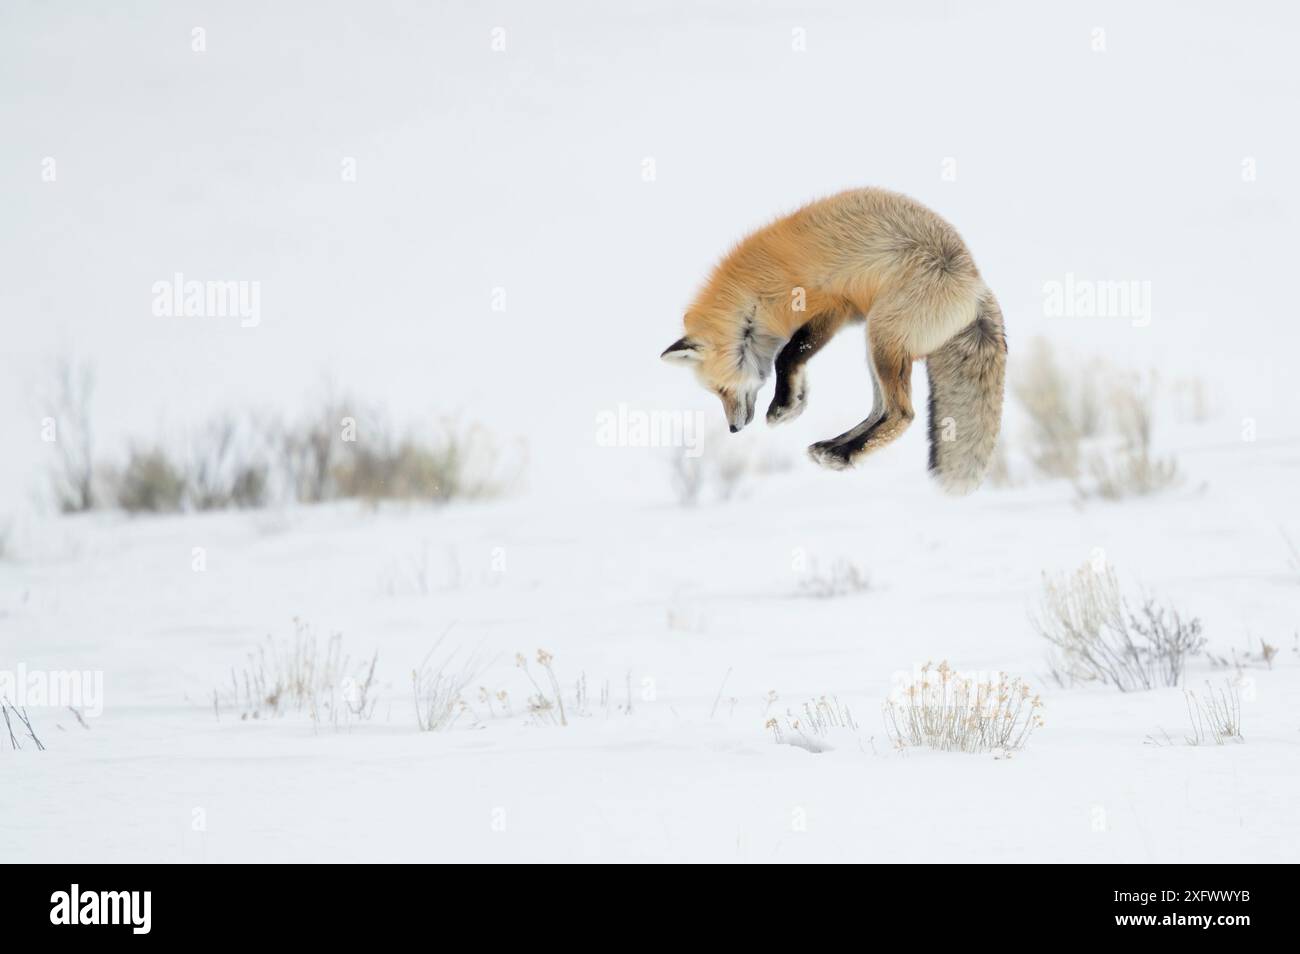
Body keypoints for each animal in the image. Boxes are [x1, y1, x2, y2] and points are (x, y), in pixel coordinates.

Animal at [661, 188, 1007, 495]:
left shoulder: (830, 307)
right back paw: (834, 448)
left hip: (882, 337)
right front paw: (794, 403)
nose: (733, 428)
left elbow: (787, 355)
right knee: (879, 410)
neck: (754, 296)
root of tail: (977, 286)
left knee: (902, 414)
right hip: (876, 346)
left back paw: (844, 454)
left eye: (720, 389)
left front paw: (782, 408)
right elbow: (793, 363)